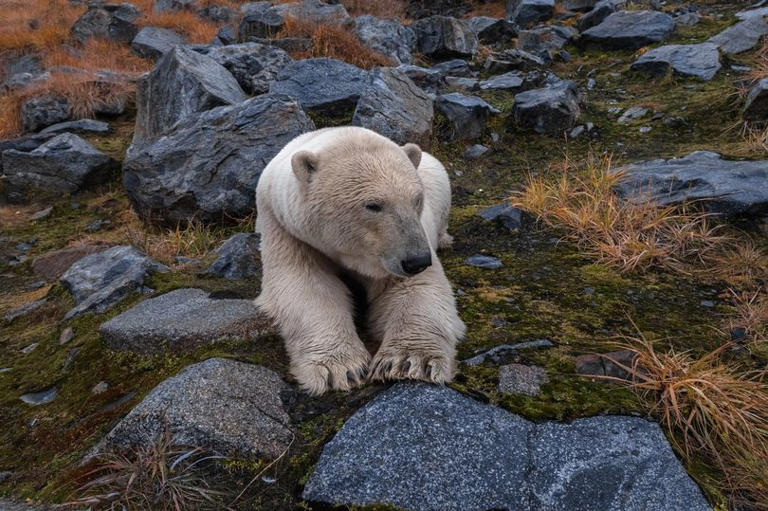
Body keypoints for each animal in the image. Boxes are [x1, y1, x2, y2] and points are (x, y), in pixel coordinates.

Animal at [255, 126, 466, 395]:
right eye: (373, 205)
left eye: (417, 199)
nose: (416, 260)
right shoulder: (287, 228)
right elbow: (307, 285)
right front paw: (340, 368)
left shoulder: (399, 250)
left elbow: (414, 288)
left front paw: (410, 360)